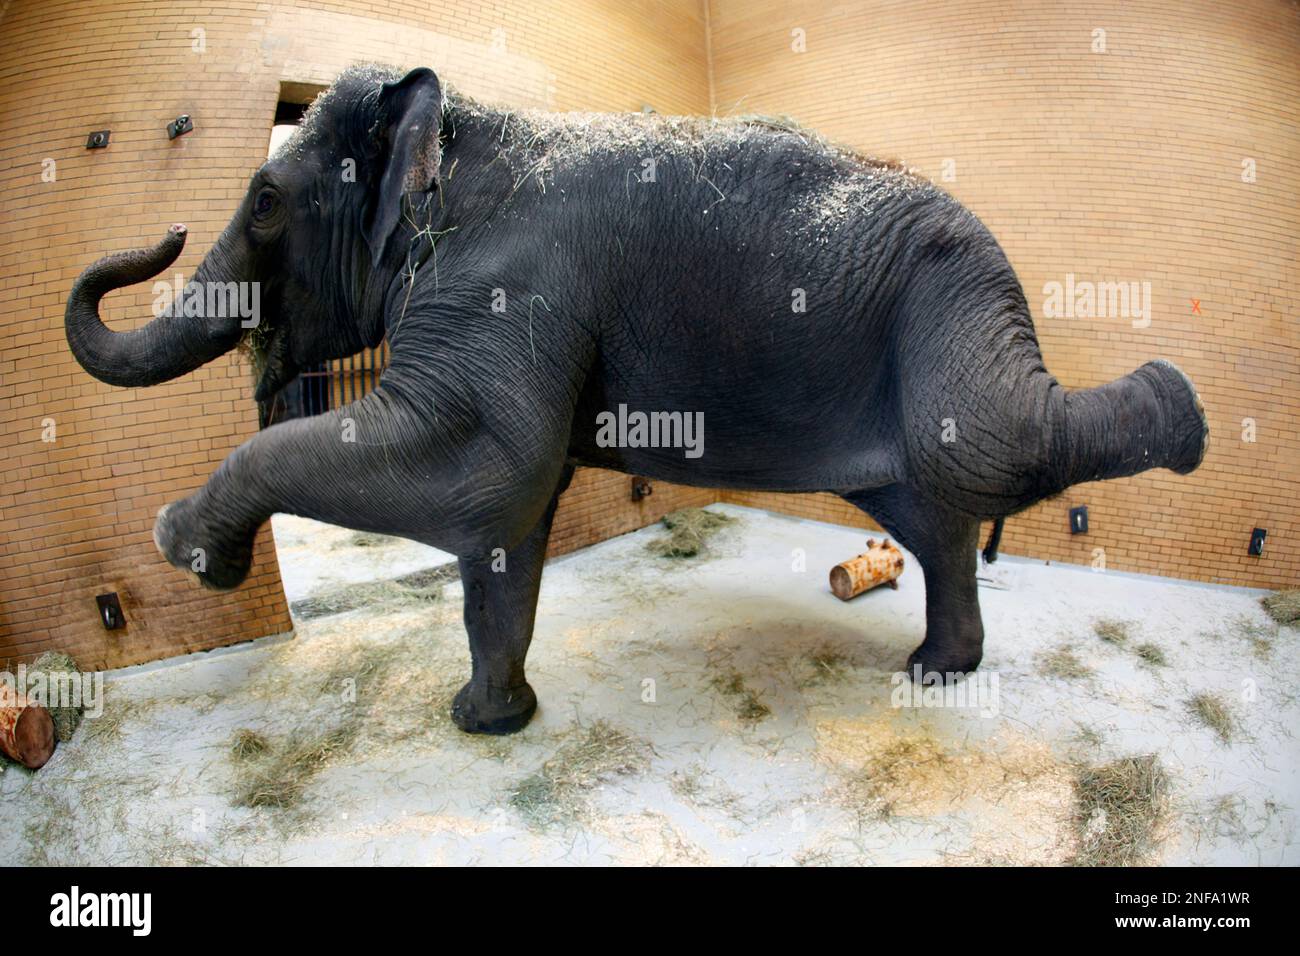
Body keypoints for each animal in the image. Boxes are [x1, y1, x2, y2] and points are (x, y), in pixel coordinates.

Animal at [65, 65, 1208, 734]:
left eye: (264, 201)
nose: (163, 232)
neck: (459, 123)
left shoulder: (503, 293)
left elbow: (484, 470)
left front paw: (186, 545)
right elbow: (504, 516)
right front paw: (488, 720)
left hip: (952, 307)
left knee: (988, 444)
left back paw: (1181, 405)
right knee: (933, 509)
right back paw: (938, 672)